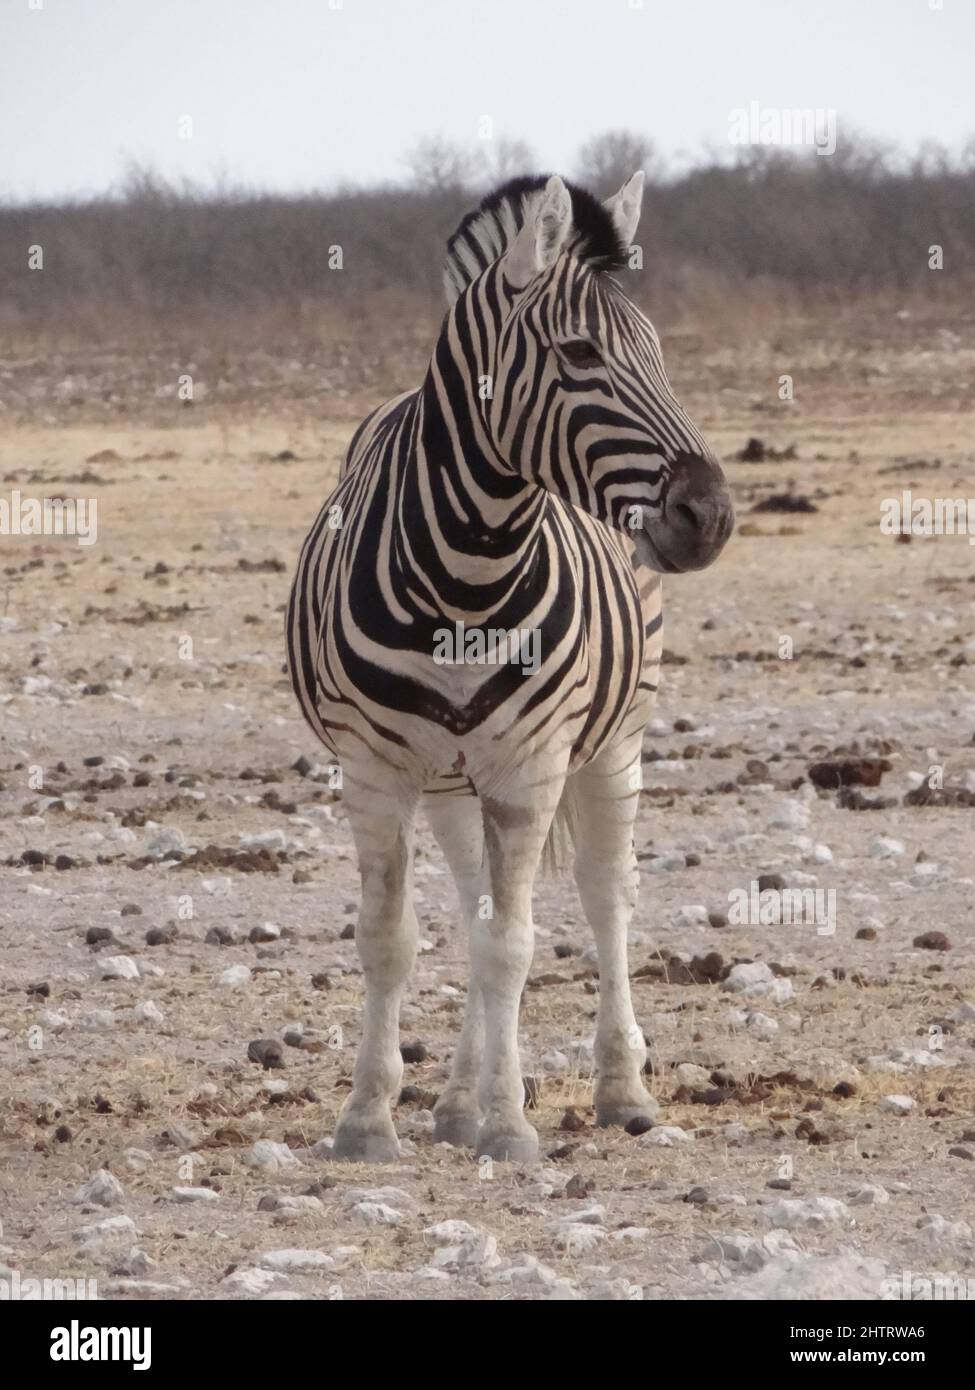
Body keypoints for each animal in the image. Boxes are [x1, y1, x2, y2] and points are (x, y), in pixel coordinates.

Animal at [287, 172, 733, 1162]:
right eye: (579, 352)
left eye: (656, 350)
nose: (710, 516)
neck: (464, 571)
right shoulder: (373, 769)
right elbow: (391, 939)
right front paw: (370, 1118)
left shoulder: (530, 769)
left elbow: (513, 948)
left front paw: (508, 1124)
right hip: (453, 780)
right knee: (473, 905)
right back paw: (455, 1103)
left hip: (613, 742)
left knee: (605, 898)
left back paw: (620, 1090)